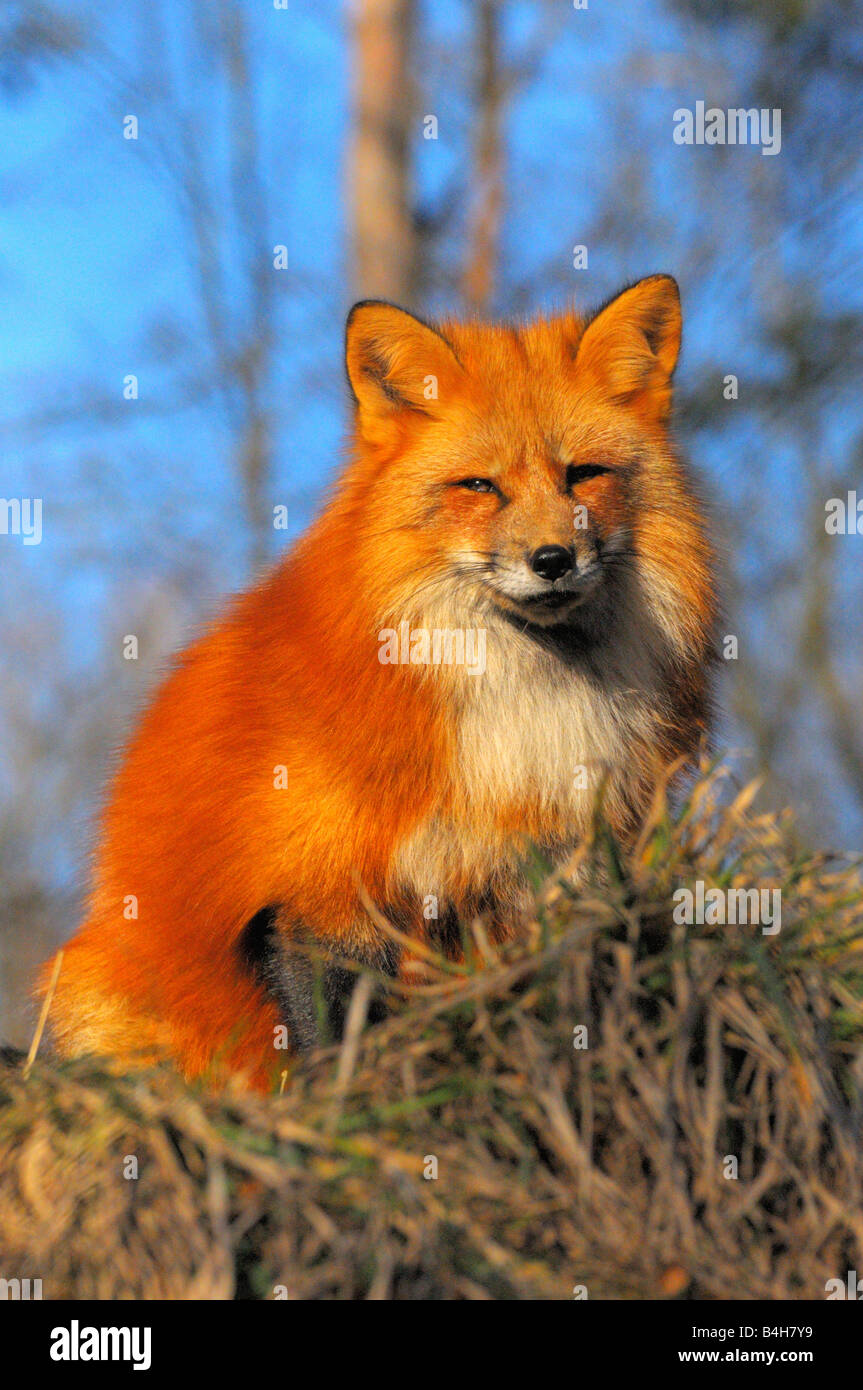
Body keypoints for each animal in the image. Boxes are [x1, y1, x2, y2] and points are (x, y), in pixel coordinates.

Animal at [41, 273, 717, 1090]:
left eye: (583, 474)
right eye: (480, 486)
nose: (553, 560)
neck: (520, 699)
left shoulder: (550, 875)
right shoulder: (317, 887)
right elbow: (337, 1037)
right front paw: (346, 1108)